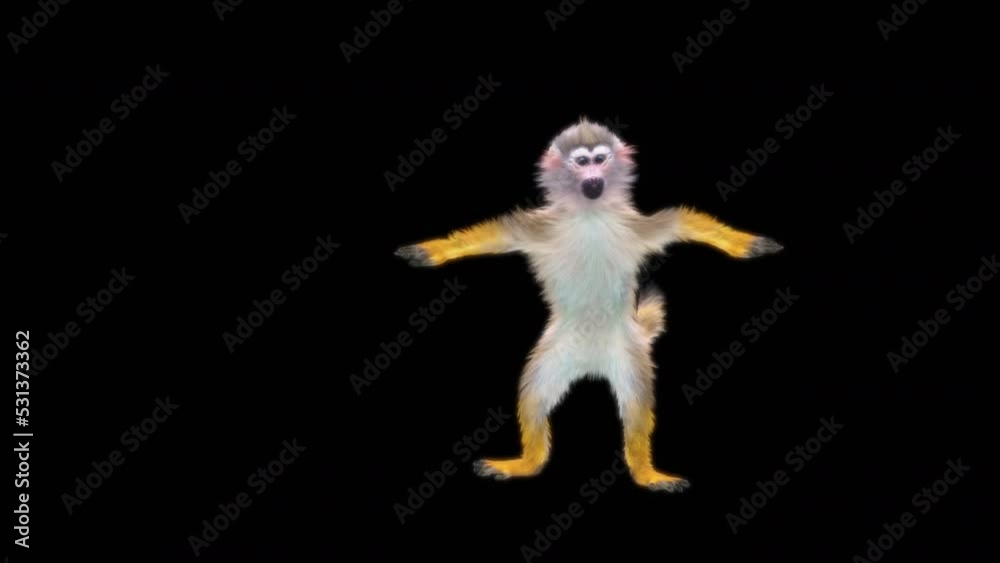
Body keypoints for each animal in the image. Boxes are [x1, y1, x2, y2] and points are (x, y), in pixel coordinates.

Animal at [394, 118, 782, 492]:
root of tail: (592, 366)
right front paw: (433, 251)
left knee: (636, 406)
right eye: (581, 162)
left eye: (600, 159)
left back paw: (643, 470)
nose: (593, 177)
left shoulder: (632, 227)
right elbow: (499, 235)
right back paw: (529, 462)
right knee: (534, 397)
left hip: (629, 352)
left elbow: (679, 223)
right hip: (557, 352)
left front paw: (746, 245)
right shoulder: (543, 228)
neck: (590, 214)